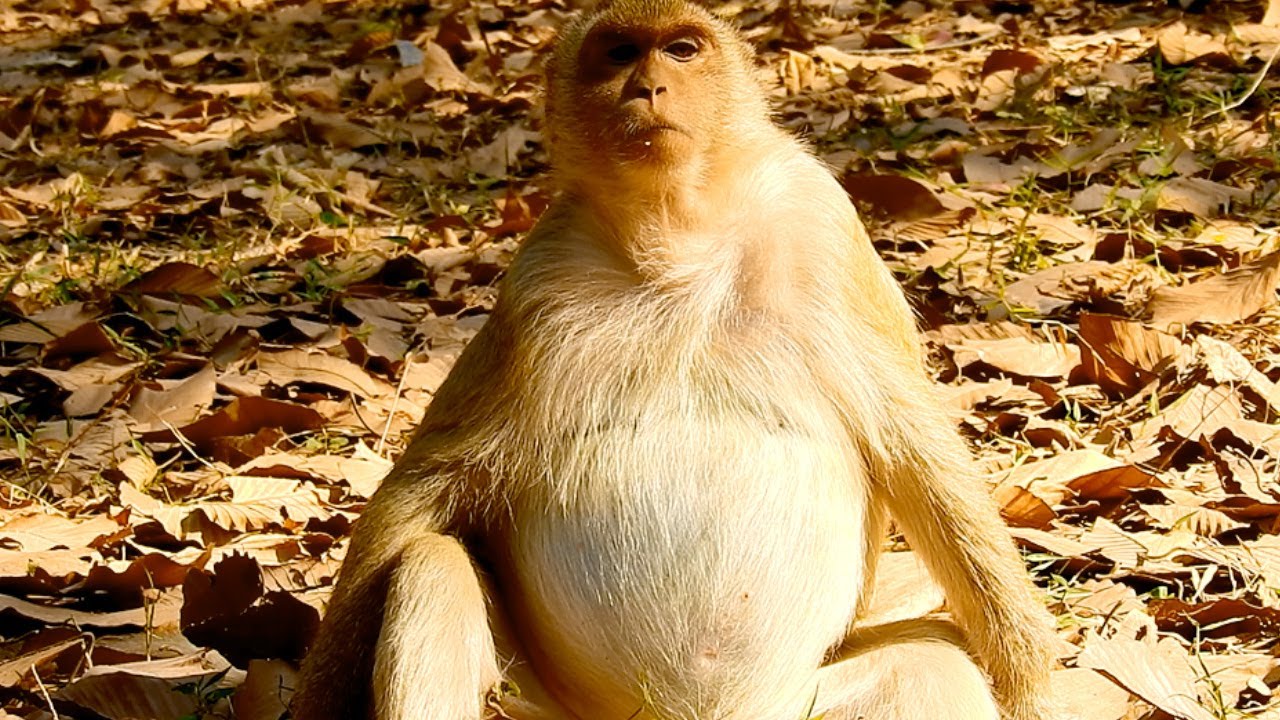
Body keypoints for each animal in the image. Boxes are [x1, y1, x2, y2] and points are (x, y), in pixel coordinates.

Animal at [291, 1, 1057, 719]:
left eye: (682, 50)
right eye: (620, 53)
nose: (648, 86)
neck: (681, 237)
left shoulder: (818, 222)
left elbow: (918, 455)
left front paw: (1035, 693)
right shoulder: (539, 283)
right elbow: (426, 488)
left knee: (929, 662)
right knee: (433, 565)